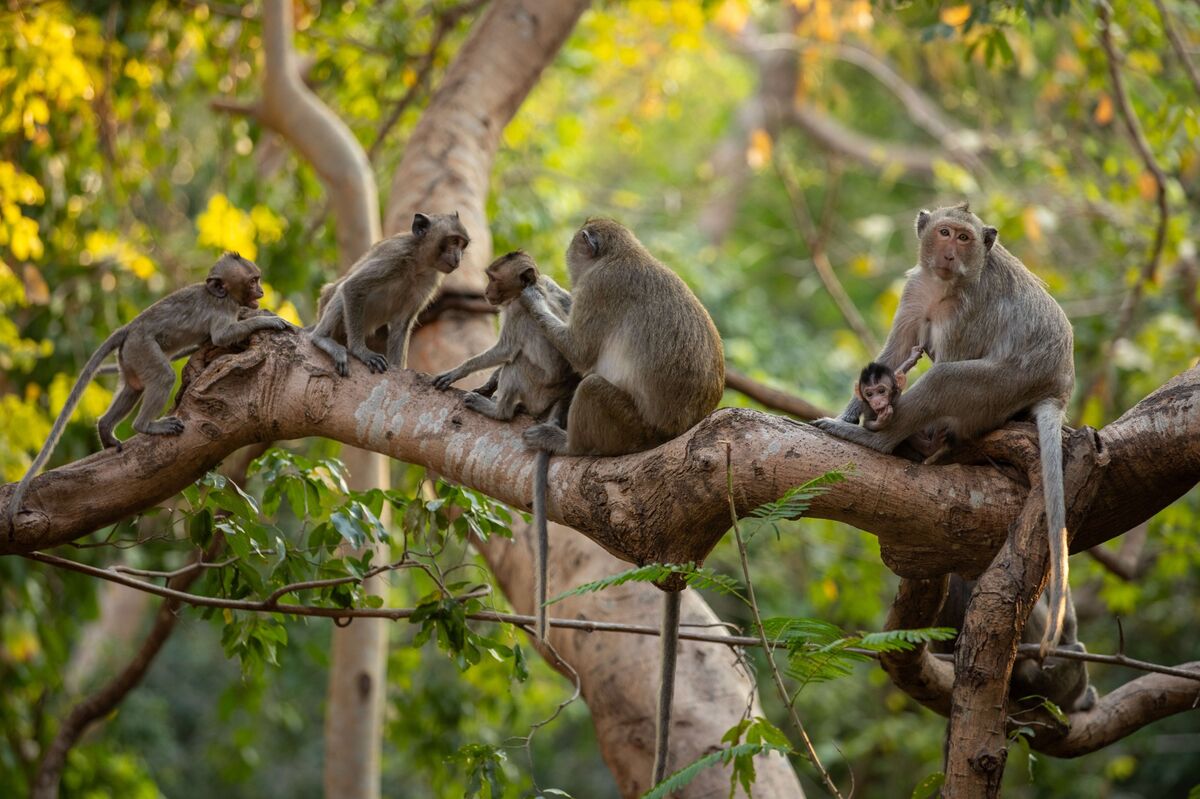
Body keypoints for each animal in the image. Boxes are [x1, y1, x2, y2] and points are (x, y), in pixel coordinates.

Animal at [7, 252, 291, 529]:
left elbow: (213, 339)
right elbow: (221, 337)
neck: (220, 294)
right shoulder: (223, 309)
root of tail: (129, 327)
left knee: (133, 388)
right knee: (163, 376)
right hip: (142, 347)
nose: (261, 291)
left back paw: (105, 428)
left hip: (129, 356)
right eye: (253, 281)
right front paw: (267, 320)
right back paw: (146, 425)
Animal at [310, 212, 469, 376]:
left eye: (463, 245)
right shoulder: (396, 255)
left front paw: (397, 368)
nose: (458, 258)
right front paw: (360, 352)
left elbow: (401, 323)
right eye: (454, 241)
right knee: (340, 291)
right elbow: (353, 286)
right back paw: (321, 338)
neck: (419, 263)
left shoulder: (430, 280)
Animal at [431, 251, 578, 641]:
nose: (485, 292)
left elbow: (505, 350)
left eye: (494, 278)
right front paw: (485, 384)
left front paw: (461, 373)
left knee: (517, 362)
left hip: (534, 386)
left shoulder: (518, 311)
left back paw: (499, 410)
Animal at [517, 218, 725, 786]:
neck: (626, 254)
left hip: (629, 430)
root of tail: (675, 437)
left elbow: (580, 351)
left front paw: (534, 296)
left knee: (591, 385)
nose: (566, 257)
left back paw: (567, 443)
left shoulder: (601, 290)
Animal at [812, 203, 1075, 658]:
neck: (944, 284)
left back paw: (884, 440)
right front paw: (853, 411)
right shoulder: (916, 288)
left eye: (965, 238)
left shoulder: (970, 310)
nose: (950, 254)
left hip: (1004, 386)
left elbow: (945, 360)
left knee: (946, 379)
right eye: (945, 232)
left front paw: (885, 419)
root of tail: (1057, 388)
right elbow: (893, 352)